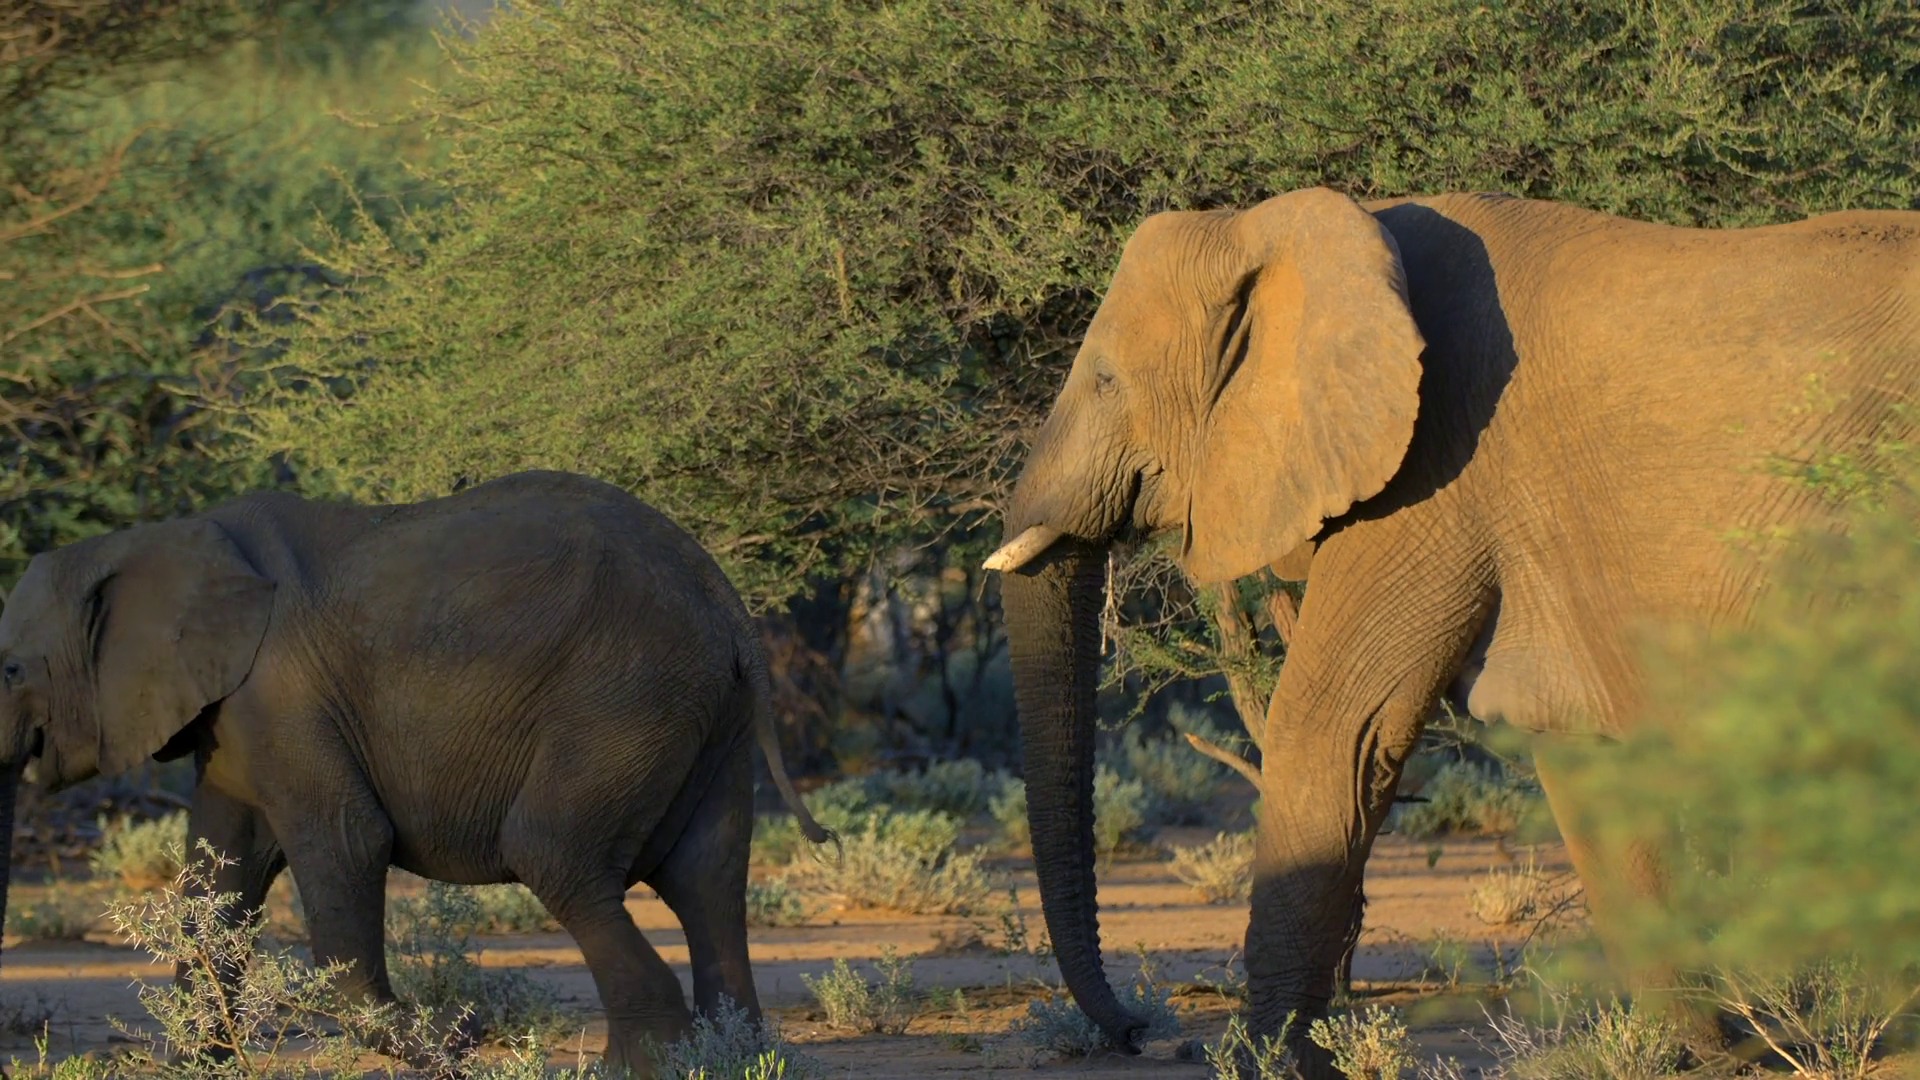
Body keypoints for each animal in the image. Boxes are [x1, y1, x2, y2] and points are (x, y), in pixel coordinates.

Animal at [0, 470, 830, 1077]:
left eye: (9, 669)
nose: (464, 1039)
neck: (155, 541)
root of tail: (722, 594)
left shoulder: (281, 693)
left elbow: (346, 843)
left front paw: (448, 1044)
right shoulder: (233, 712)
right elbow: (220, 879)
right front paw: (193, 1062)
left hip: (626, 697)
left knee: (556, 855)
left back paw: (643, 1067)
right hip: (706, 710)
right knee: (706, 876)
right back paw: (734, 1052)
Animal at [983, 187, 1920, 1072]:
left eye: (1106, 381)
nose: (1141, 1031)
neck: (1308, 228)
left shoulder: (1432, 467)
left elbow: (1332, 727)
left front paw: (1267, 1064)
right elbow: (1582, 757)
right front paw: (1709, 1055)